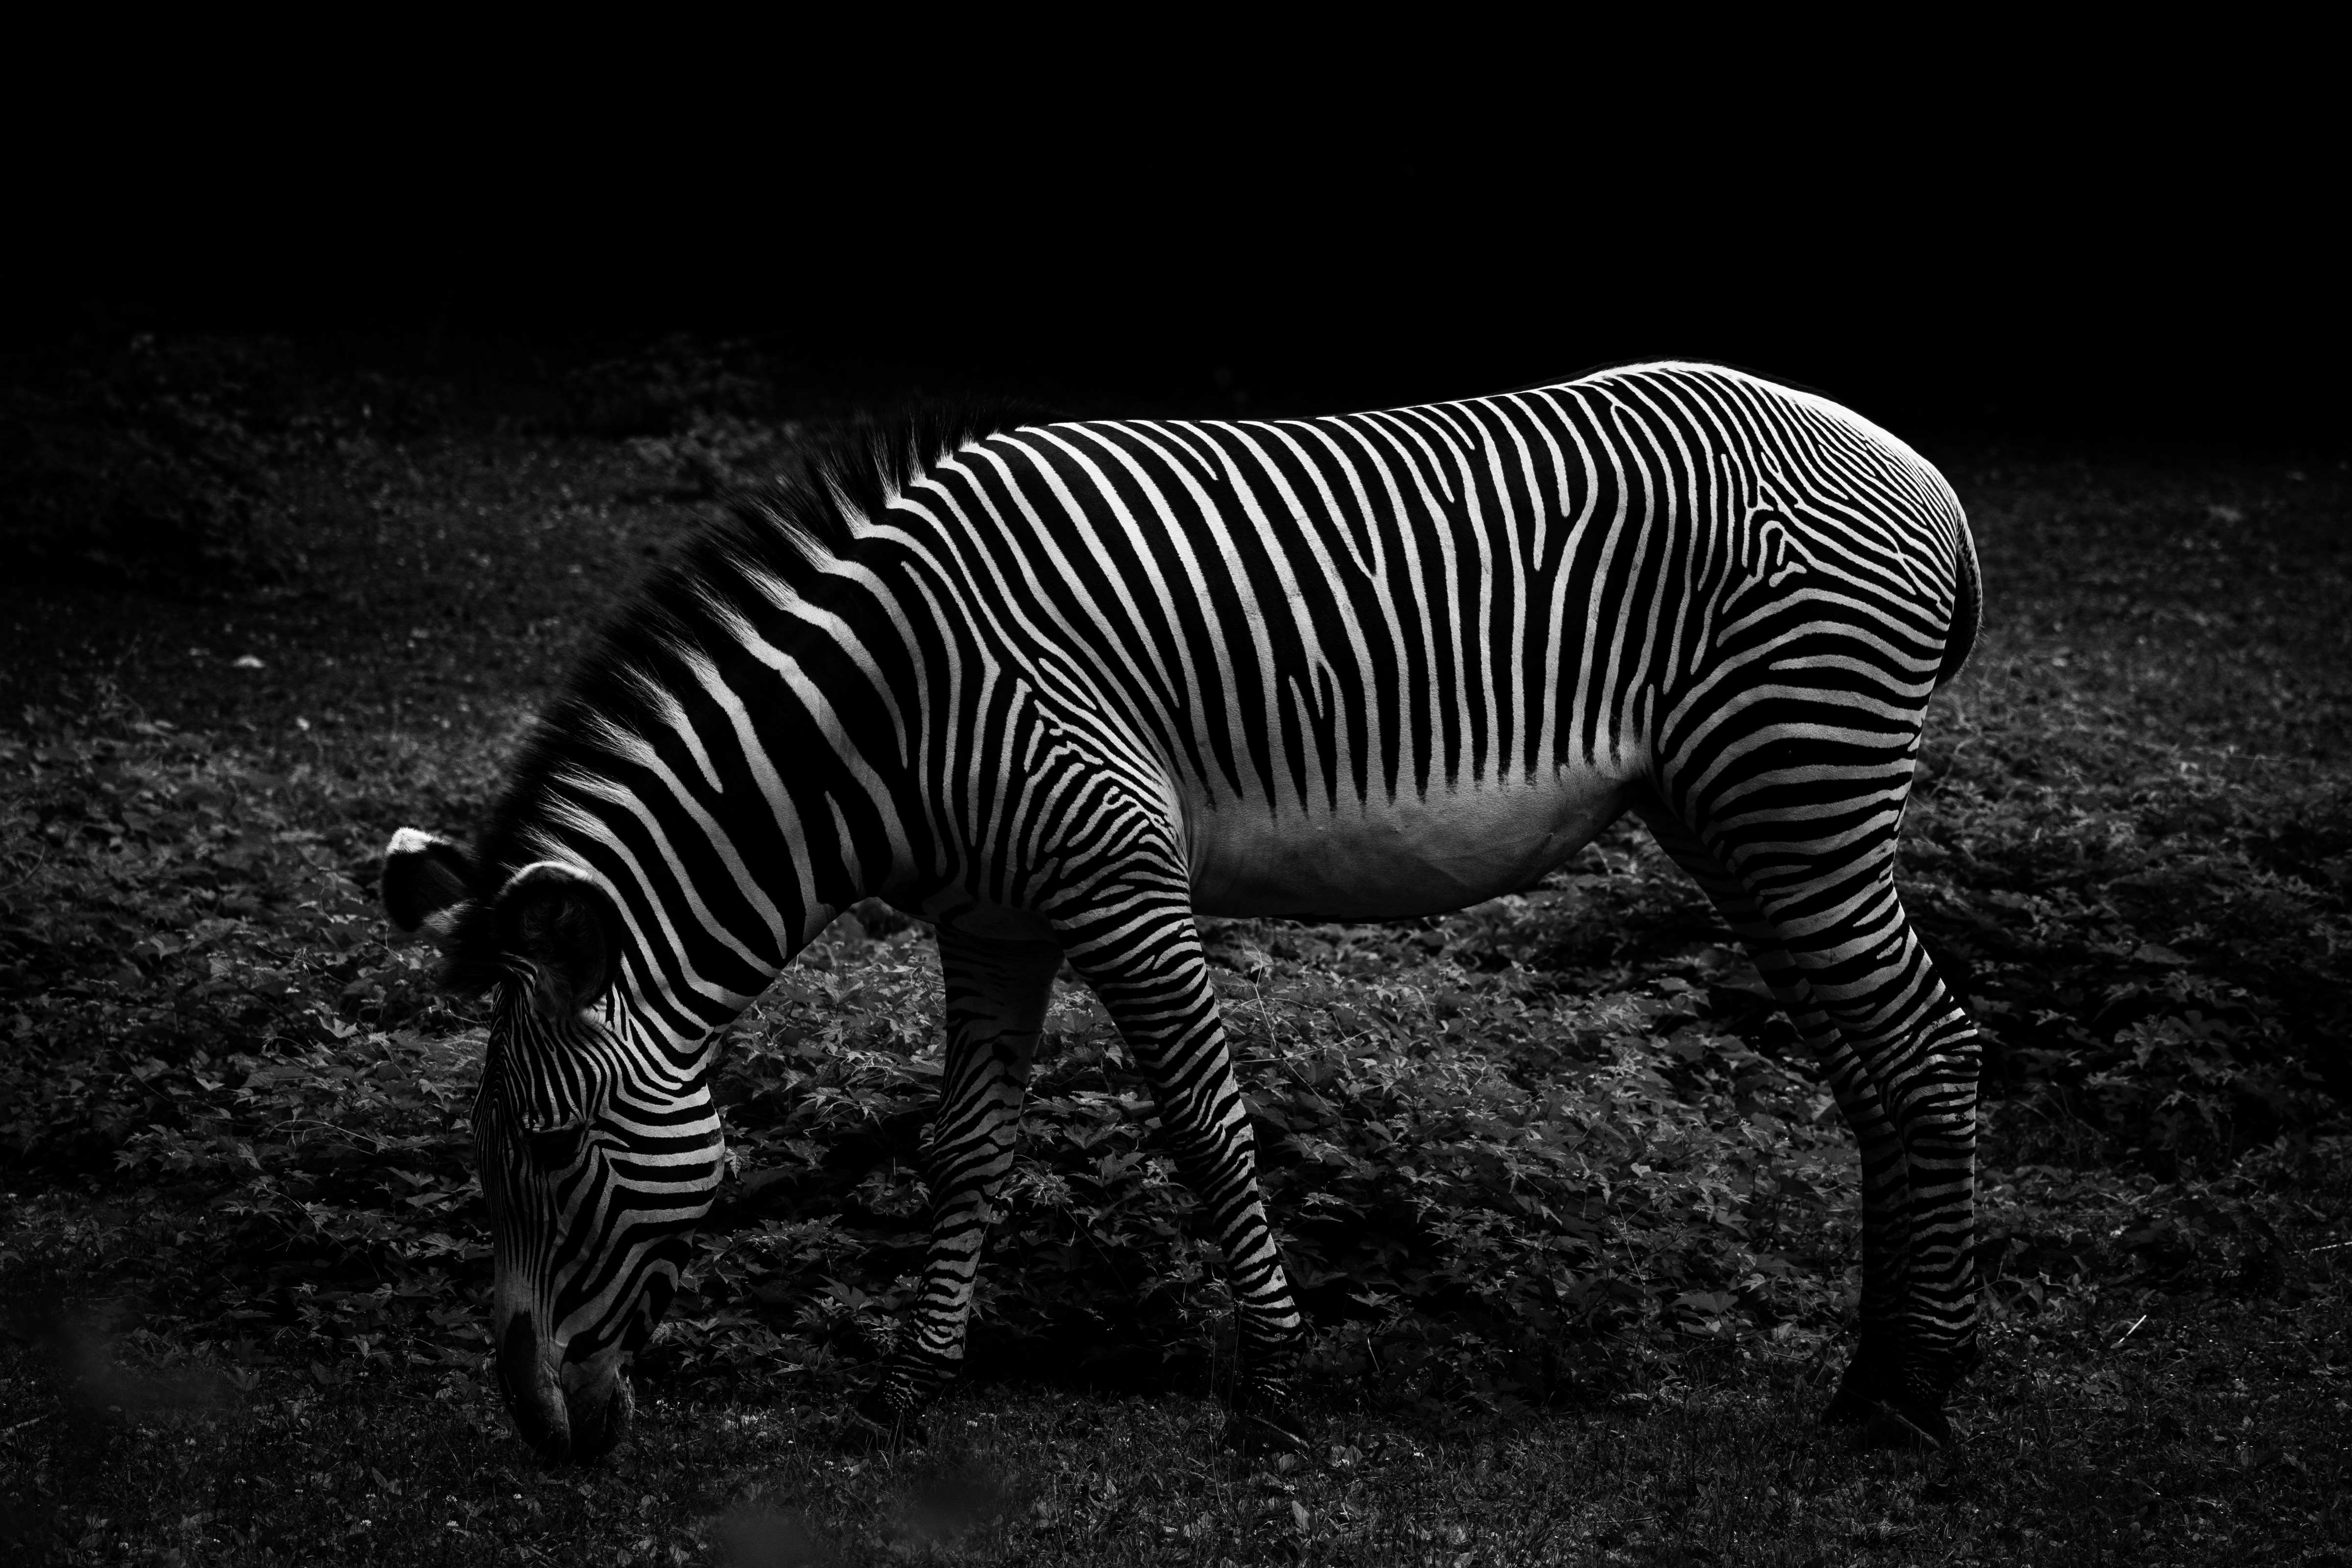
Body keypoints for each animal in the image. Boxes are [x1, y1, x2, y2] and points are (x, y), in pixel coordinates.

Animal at [382, 361, 1985, 1461]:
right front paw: (904, 1392)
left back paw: (1918, 1394)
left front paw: (1271, 1390)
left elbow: (1205, 1125)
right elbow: (969, 1152)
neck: (886, 709)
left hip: (1797, 786)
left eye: (549, 1147)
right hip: (1742, 816)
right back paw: (1868, 1380)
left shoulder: (1118, 874)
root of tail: (1906, 461)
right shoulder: (995, 916)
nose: (540, 1431)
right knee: (1868, 1069)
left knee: (1927, 1050)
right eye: (479, 1155)